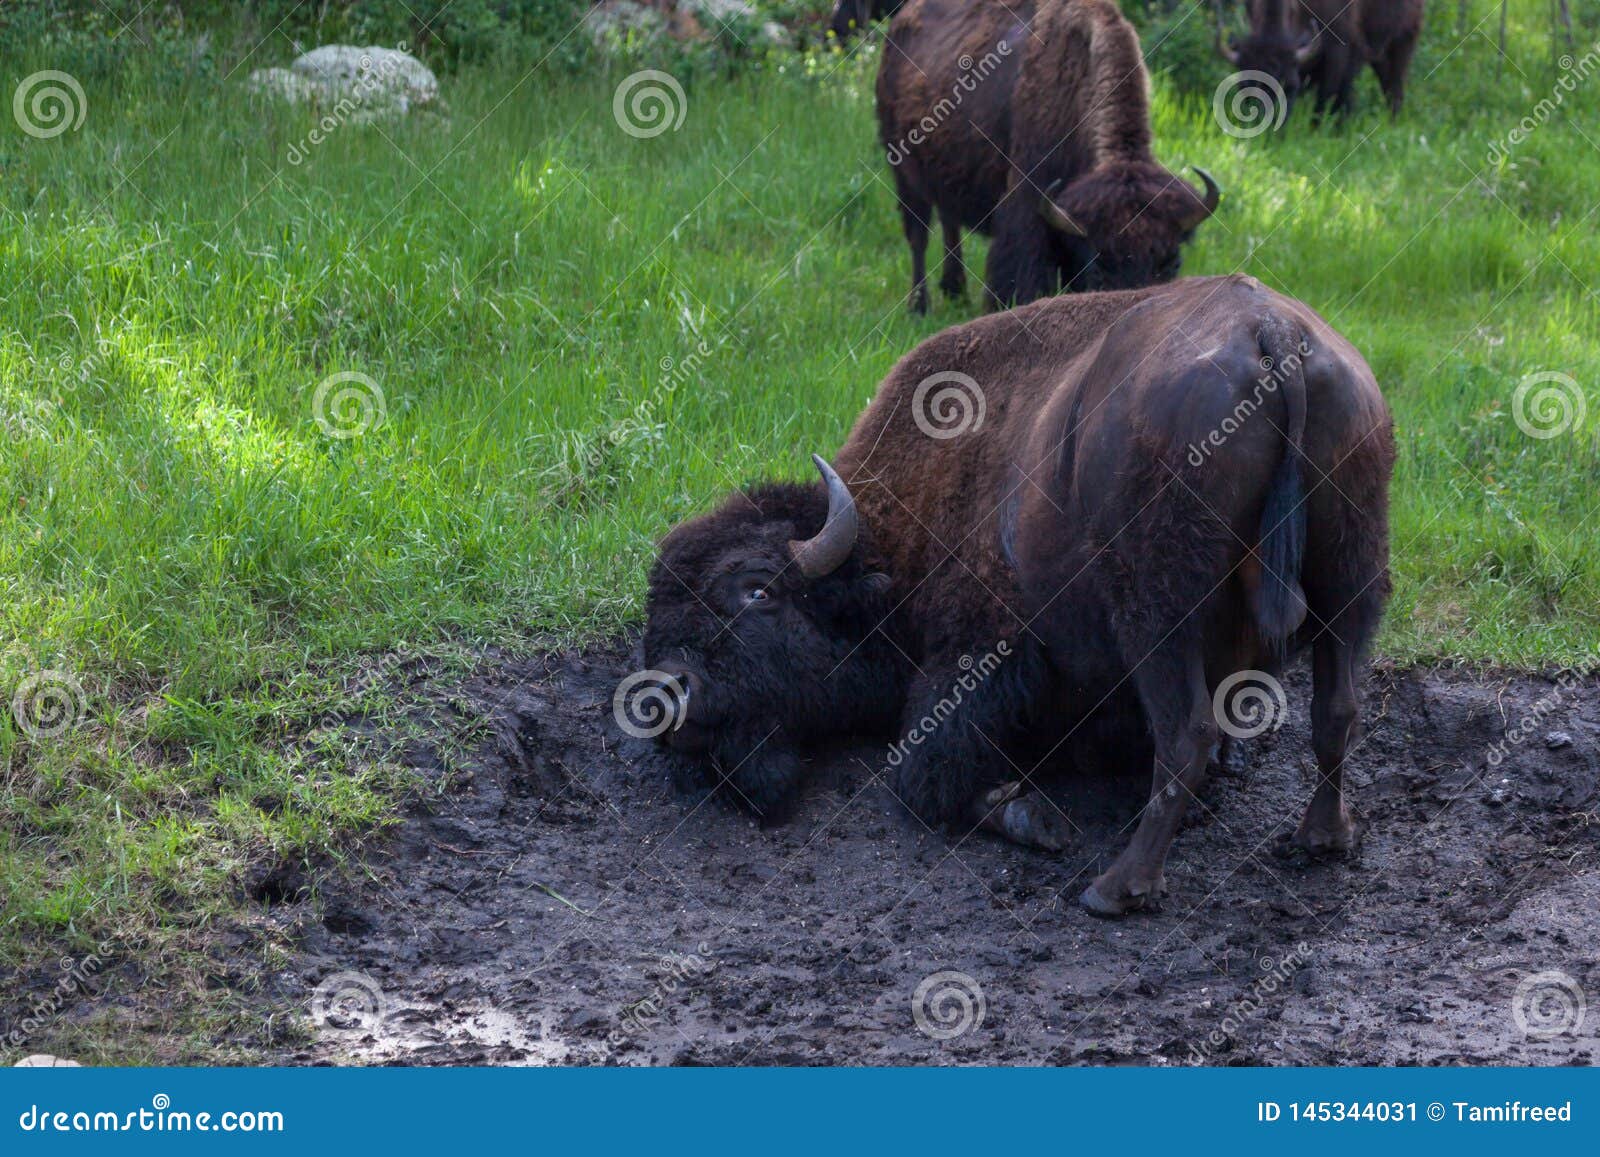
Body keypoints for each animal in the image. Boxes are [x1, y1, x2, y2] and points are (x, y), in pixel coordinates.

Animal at [640, 276, 1394, 916]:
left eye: (754, 590)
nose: (663, 695)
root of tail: (1270, 330)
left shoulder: (982, 653)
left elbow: (922, 773)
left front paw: (1032, 816)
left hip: (1159, 616)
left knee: (1186, 736)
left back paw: (1115, 888)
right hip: (1351, 575)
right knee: (1336, 709)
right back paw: (1324, 838)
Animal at [877, 0, 1219, 314]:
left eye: (1172, 263)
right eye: (1099, 267)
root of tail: (898, 26)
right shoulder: (1030, 209)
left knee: (949, 223)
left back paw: (955, 292)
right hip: (903, 172)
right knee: (918, 235)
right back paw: (919, 306)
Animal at [1218, 0, 1425, 121]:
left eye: (1290, 88)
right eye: (1243, 86)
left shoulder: (1338, 52)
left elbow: (1327, 94)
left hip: (1402, 42)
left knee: (1394, 88)